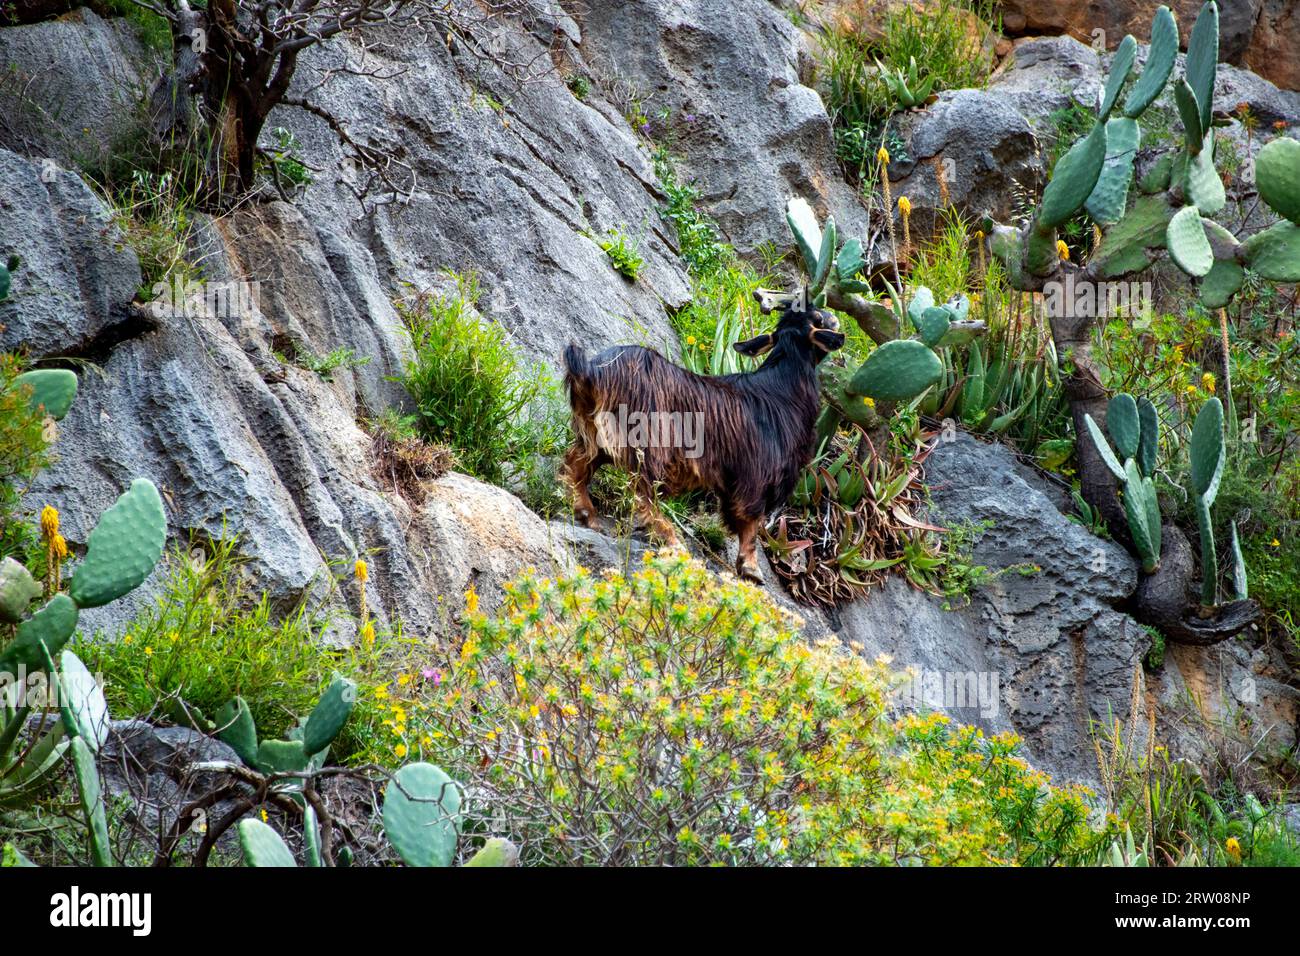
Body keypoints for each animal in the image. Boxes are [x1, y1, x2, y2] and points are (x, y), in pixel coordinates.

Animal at [561, 301, 844, 581]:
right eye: (819, 319)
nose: (835, 319)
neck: (781, 391)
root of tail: (592, 371)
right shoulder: (756, 474)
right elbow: (751, 520)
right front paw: (751, 567)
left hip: (595, 434)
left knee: (576, 464)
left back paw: (586, 513)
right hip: (651, 443)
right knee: (642, 493)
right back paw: (670, 538)